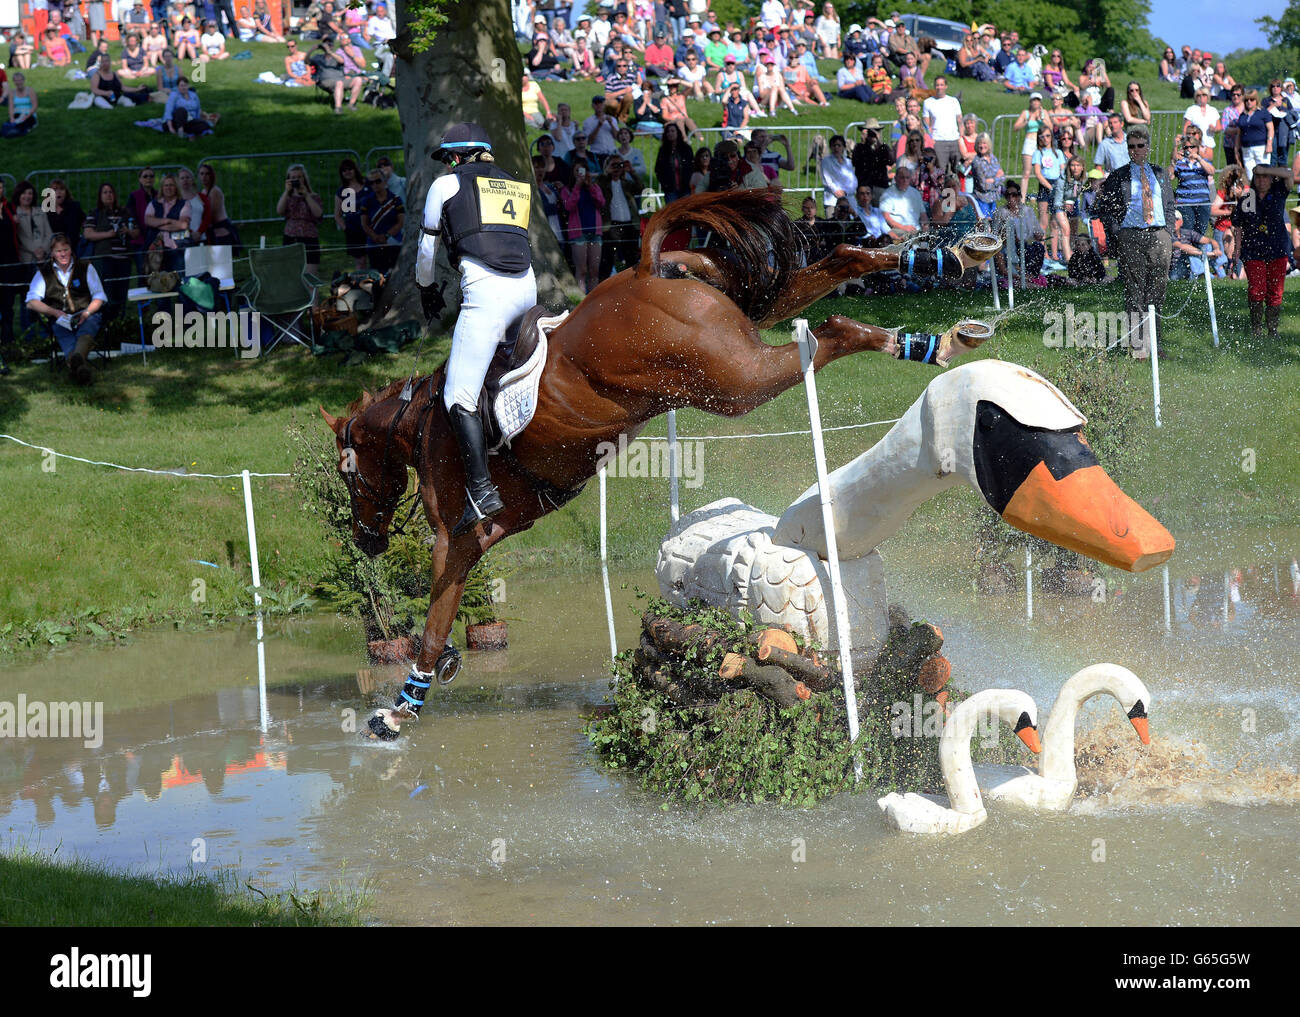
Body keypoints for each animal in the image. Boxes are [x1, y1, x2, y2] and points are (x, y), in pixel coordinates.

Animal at [320, 188, 1001, 739]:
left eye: (349, 471)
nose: (367, 539)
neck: (423, 424)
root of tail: (649, 267)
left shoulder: (457, 537)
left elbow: (436, 618)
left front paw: (399, 709)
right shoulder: (494, 530)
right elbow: (445, 611)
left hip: (733, 380)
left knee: (828, 331)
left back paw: (929, 330)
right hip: (746, 315)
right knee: (837, 266)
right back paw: (945, 279)